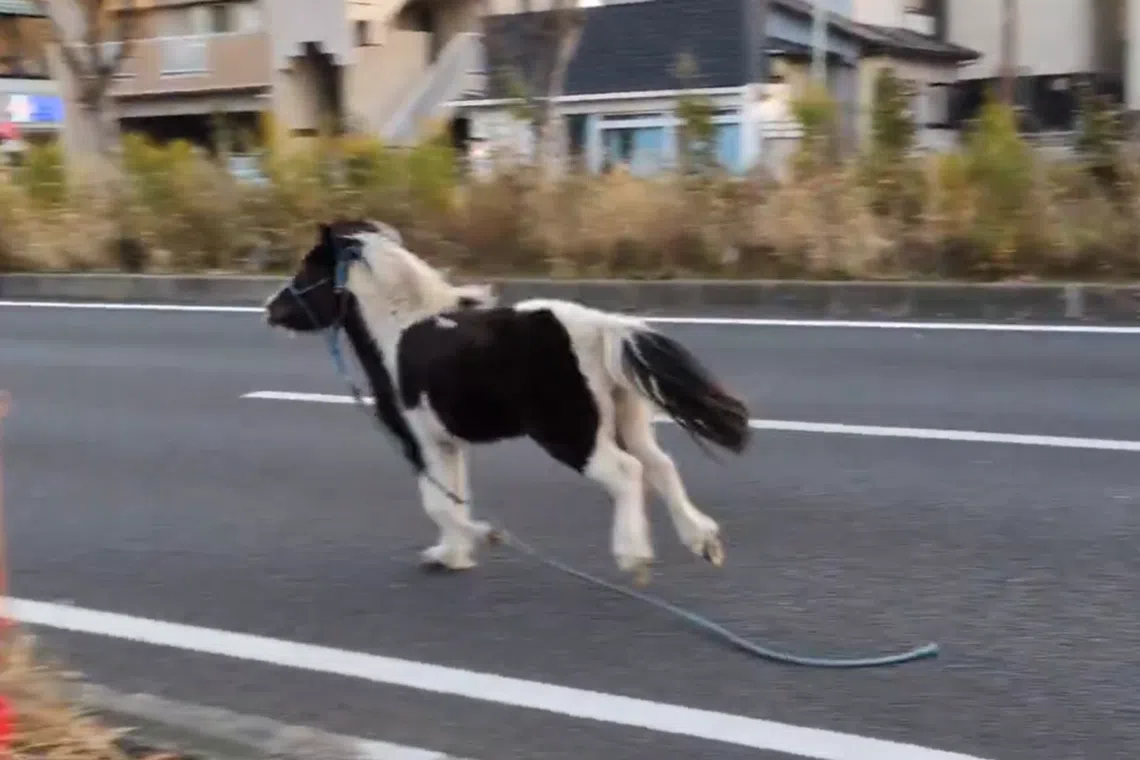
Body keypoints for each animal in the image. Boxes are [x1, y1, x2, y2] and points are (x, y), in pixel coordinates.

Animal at [263, 220, 752, 584]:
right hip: (624, 423)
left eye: (307, 271)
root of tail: (601, 328)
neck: (398, 331)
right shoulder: (447, 443)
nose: (270, 309)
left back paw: (634, 557)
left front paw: (476, 539)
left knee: (628, 473)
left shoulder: (418, 442)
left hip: (571, 433)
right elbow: (454, 496)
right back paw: (704, 541)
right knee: (660, 466)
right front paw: (452, 554)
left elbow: (438, 503)